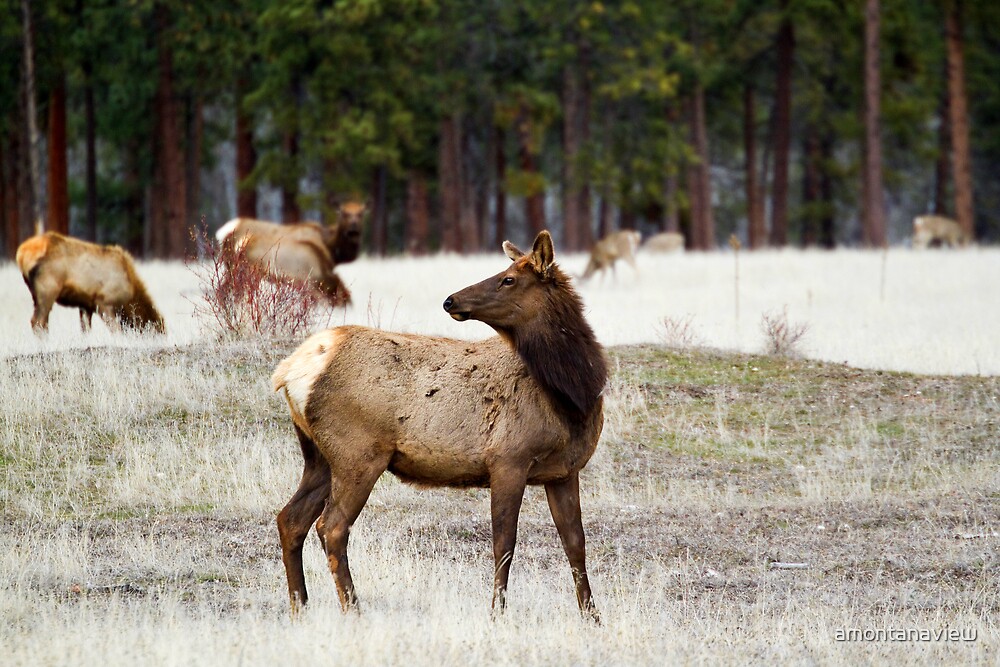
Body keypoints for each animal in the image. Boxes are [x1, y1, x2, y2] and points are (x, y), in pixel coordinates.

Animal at [16, 232, 165, 334]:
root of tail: (21, 254)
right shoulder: (104, 302)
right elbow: (116, 330)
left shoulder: (85, 305)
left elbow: (85, 330)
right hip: (48, 289)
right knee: (38, 322)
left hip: (36, 292)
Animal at [214, 200, 368, 306]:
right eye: (344, 214)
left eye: (360, 214)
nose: (353, 229)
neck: (331, 247)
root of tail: (223, 231)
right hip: (237, 268)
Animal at [271, 230, 607, 621]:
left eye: (508, 278)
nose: (450, 300)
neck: (573, 398)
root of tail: (290, 371)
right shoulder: (508, 459)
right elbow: (504, 543)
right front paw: (497, 614)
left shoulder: (564, 471)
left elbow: (575, 543)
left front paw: (593, 616)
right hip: (358, 453)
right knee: (332, 526)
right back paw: (353, 608)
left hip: (319, 456)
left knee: (291, 519)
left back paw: (300, 606)